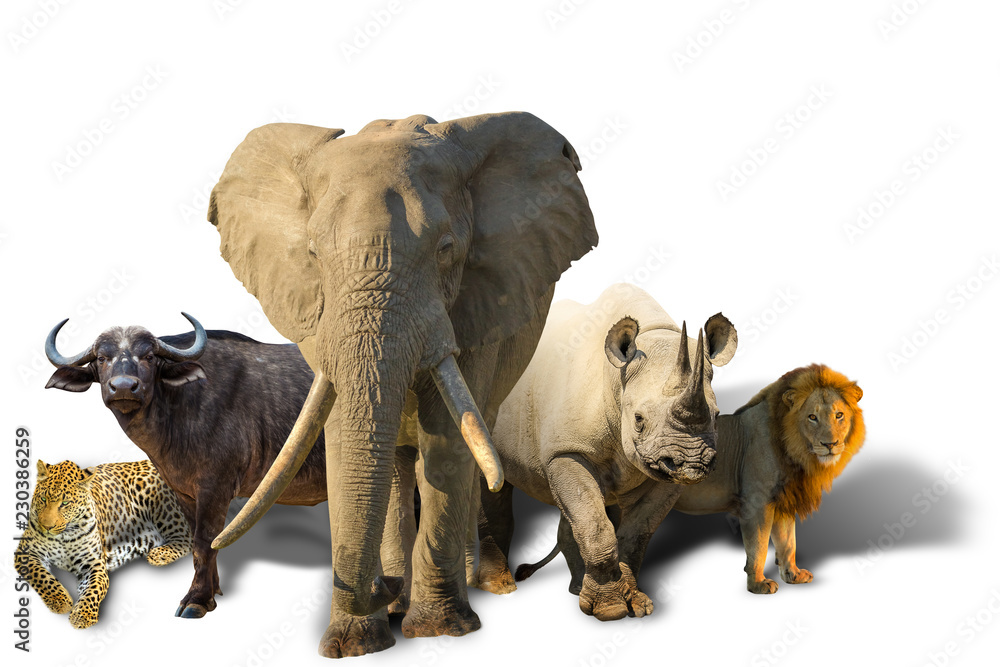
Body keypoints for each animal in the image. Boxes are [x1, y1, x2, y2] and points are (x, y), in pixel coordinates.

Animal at [206, 112, 597, 657]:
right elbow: (340, 438)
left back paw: (480, 584)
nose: (381, 588)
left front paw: (438, 631)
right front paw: (355, 645)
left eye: (446, 250)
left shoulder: (476, 308)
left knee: (476, 438)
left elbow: (447, 438)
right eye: (313, 253)